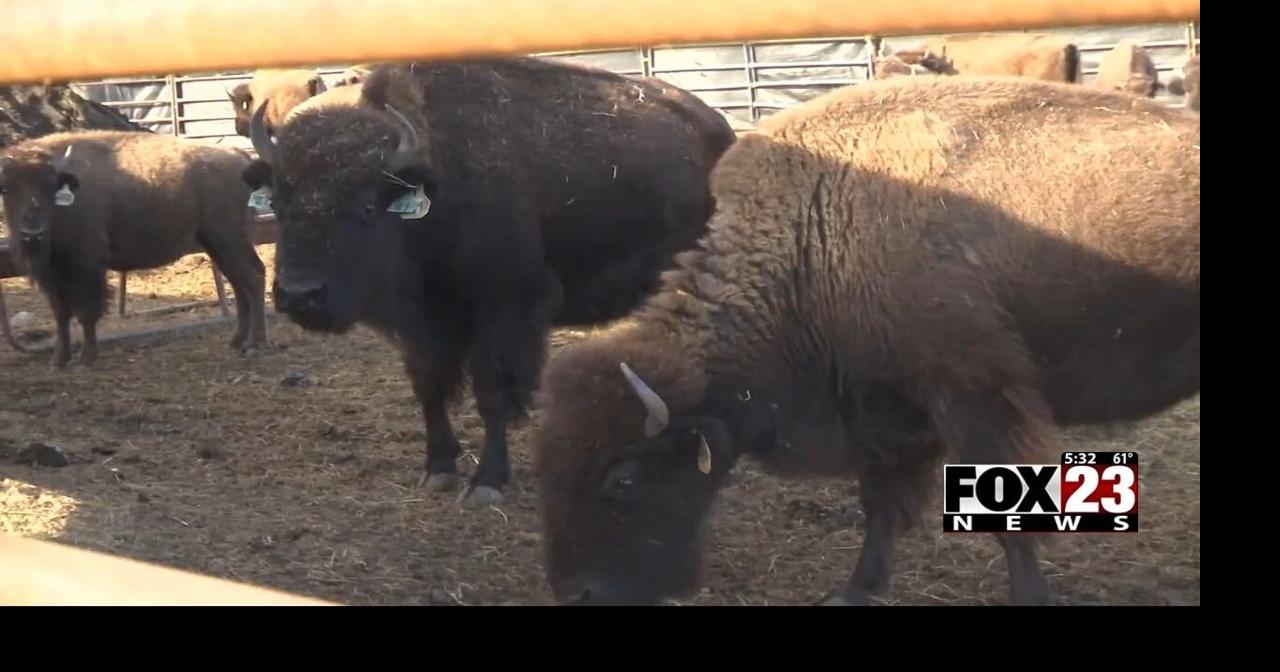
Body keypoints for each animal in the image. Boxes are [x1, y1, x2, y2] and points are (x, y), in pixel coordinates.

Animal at [242, 58, 735, 504]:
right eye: (280, 204)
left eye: (366, 206)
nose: (300, 294)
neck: (435, 184)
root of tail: (719, 128)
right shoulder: (425, 323)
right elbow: (429, 386)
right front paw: (438, 469)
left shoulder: (503, 310)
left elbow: (492, 394)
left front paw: (487, 481)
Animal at [532, 75, 1199, 606]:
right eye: (546, 469)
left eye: (622, 478)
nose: (578, 593)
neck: (814, 236)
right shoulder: (883, 412)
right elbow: (880, 508)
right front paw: (853, 591)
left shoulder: (978, 399)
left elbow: (1003, 516)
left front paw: (1032, 598)